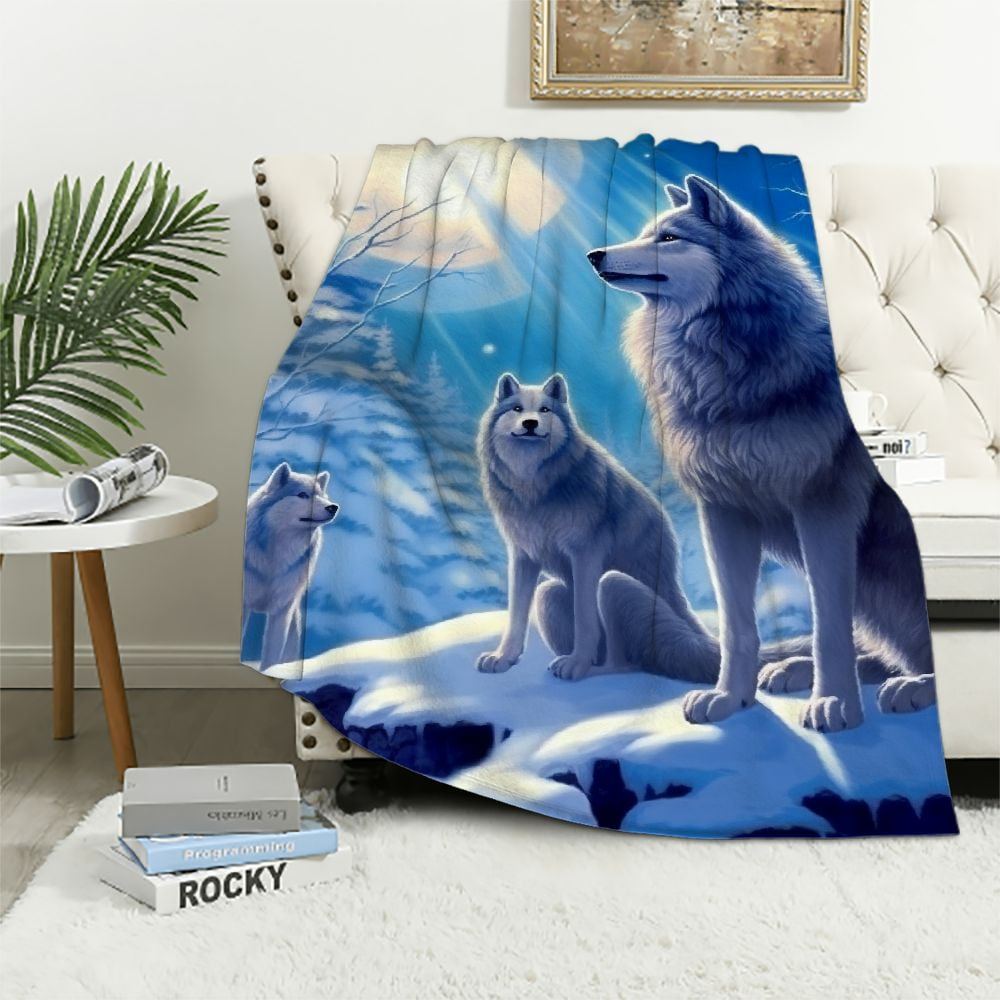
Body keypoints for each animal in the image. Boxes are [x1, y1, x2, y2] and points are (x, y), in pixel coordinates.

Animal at [243, 462, 339, 671]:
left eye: (323, 496)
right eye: (302, 495)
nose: (333, 507)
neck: (275, 561)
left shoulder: (282, 610)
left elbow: (272, 654)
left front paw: (272, 672)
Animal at [587, 174, 935, 732]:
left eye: (669, 238)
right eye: (645, 234)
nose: (595, 254)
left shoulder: (824, 512)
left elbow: (827, 625)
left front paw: (833, 704)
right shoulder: (723, 513)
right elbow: (737, 626)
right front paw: (730, 698)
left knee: (912, 654)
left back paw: (912, 686)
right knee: (882, 652)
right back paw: (795, 670)